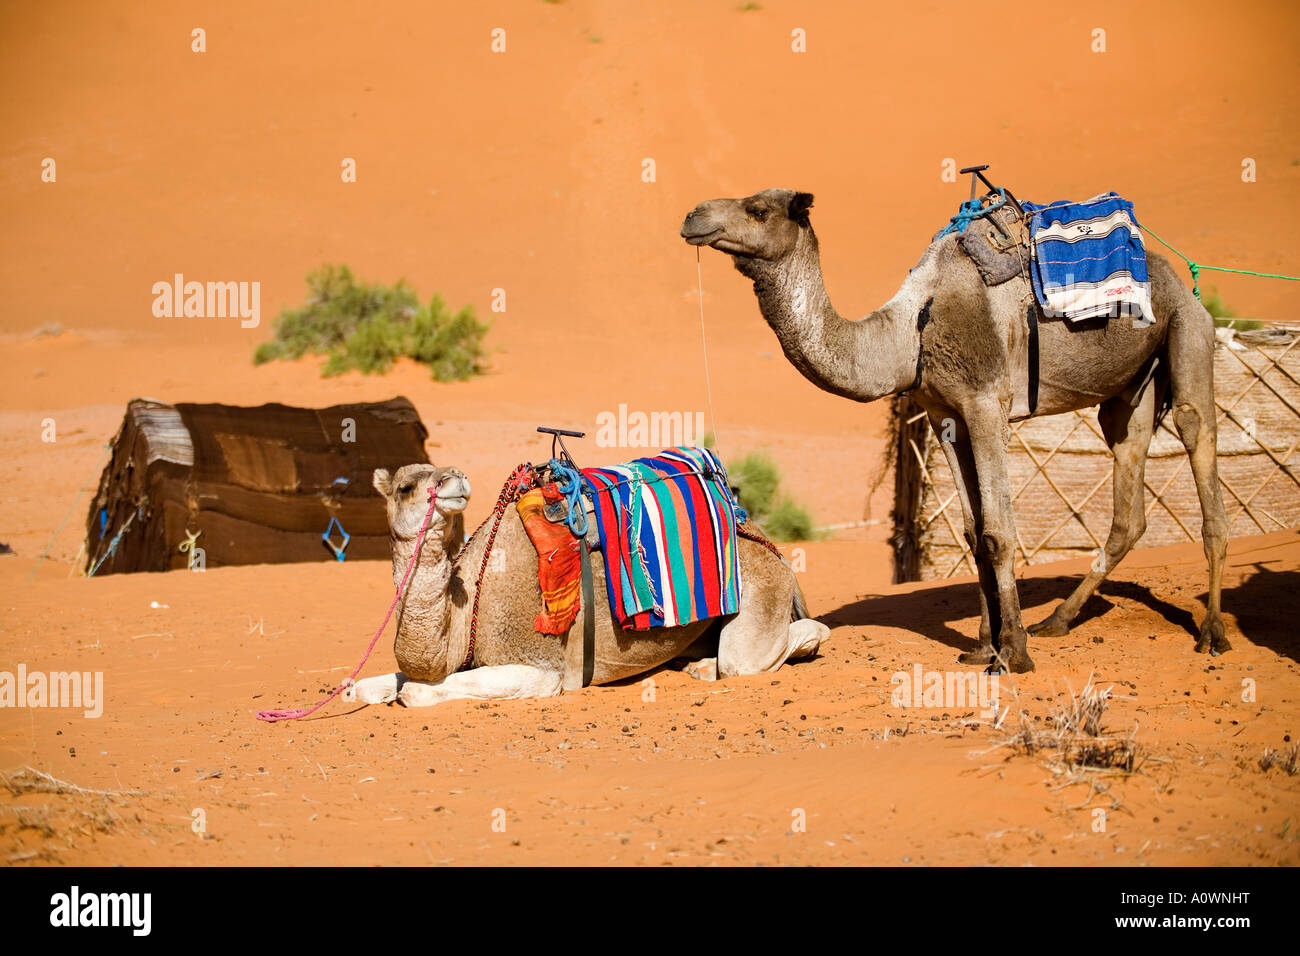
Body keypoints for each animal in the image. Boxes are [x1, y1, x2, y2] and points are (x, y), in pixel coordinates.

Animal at [350, 463, 829, 707]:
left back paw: (712, 666)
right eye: (406, 486)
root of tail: (772, 547)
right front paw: (357, 689)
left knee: (760, 653)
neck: (466, 609)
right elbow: (375, 683)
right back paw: (697, 664)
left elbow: (416, 691)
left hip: (762, 588)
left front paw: (407, 692)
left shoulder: (542, 667)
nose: (455, 480)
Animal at [681, 188, 1229, 673]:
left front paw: (1014, 654)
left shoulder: (986, 404)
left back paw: (1212, 633)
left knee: (1196, 432)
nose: (691, 216)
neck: (911, 333)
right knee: (1127, 496)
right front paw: (983, 647)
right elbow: (971, 531)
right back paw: (1058, 620)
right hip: (1130, 389)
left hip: (1187, 328)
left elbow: (999, 530)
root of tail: (1177, 273)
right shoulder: (944, 414)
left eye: (757, 209)